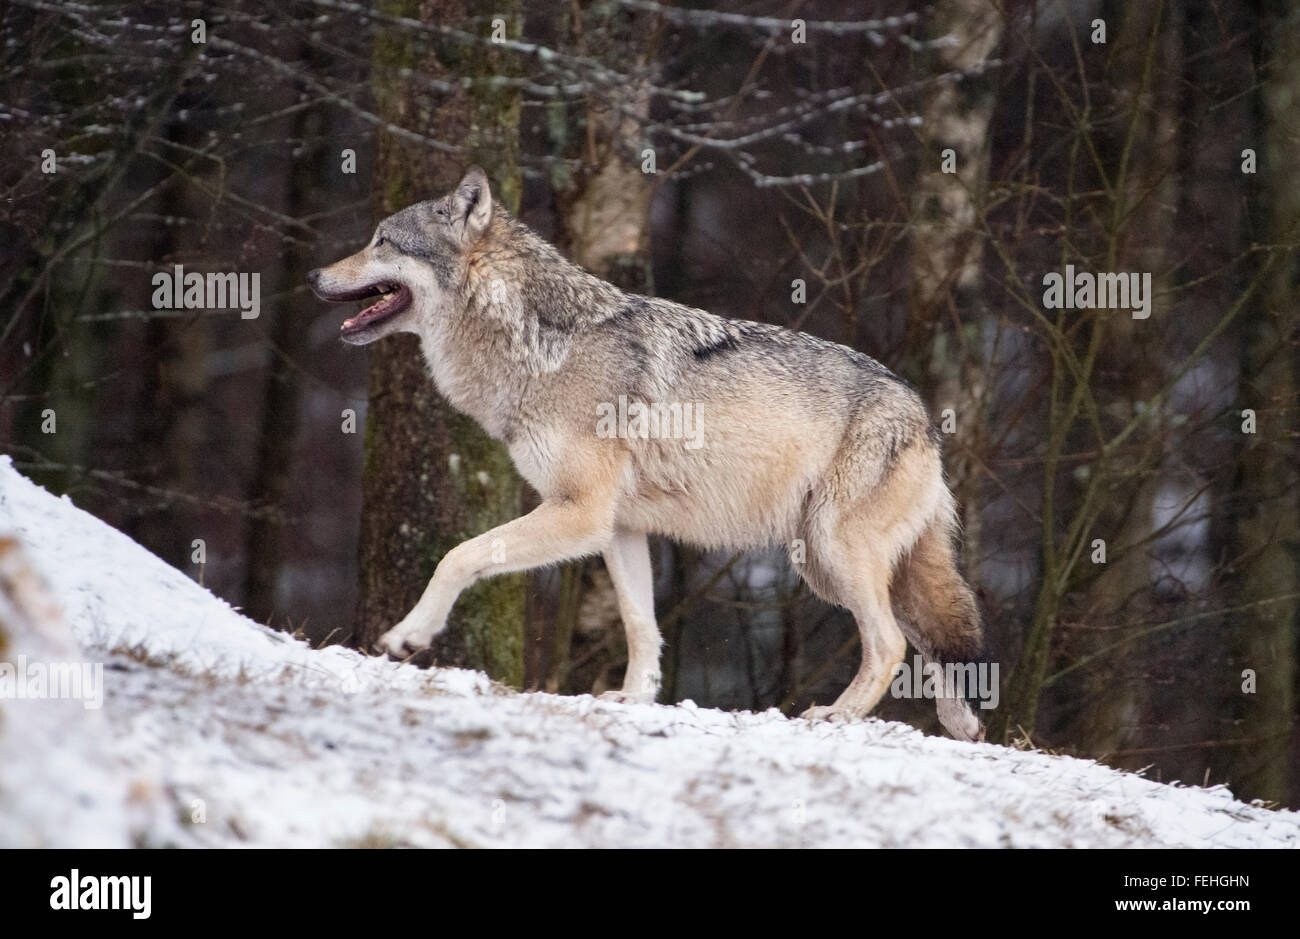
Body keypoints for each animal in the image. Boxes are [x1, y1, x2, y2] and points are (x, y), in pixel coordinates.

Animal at [309, 166, 985, 741]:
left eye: (381, 242)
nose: (314, 277)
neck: (536, 348)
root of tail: (923, 414)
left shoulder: (578, 514)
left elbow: (457, 556)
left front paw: (407, 636)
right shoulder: (618, 527)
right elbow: (642, 626)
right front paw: (634, 699)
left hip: (830, 552)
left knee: (891, 644)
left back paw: (836, 716)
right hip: (828, 560)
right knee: (930, 636)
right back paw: (961, 724)